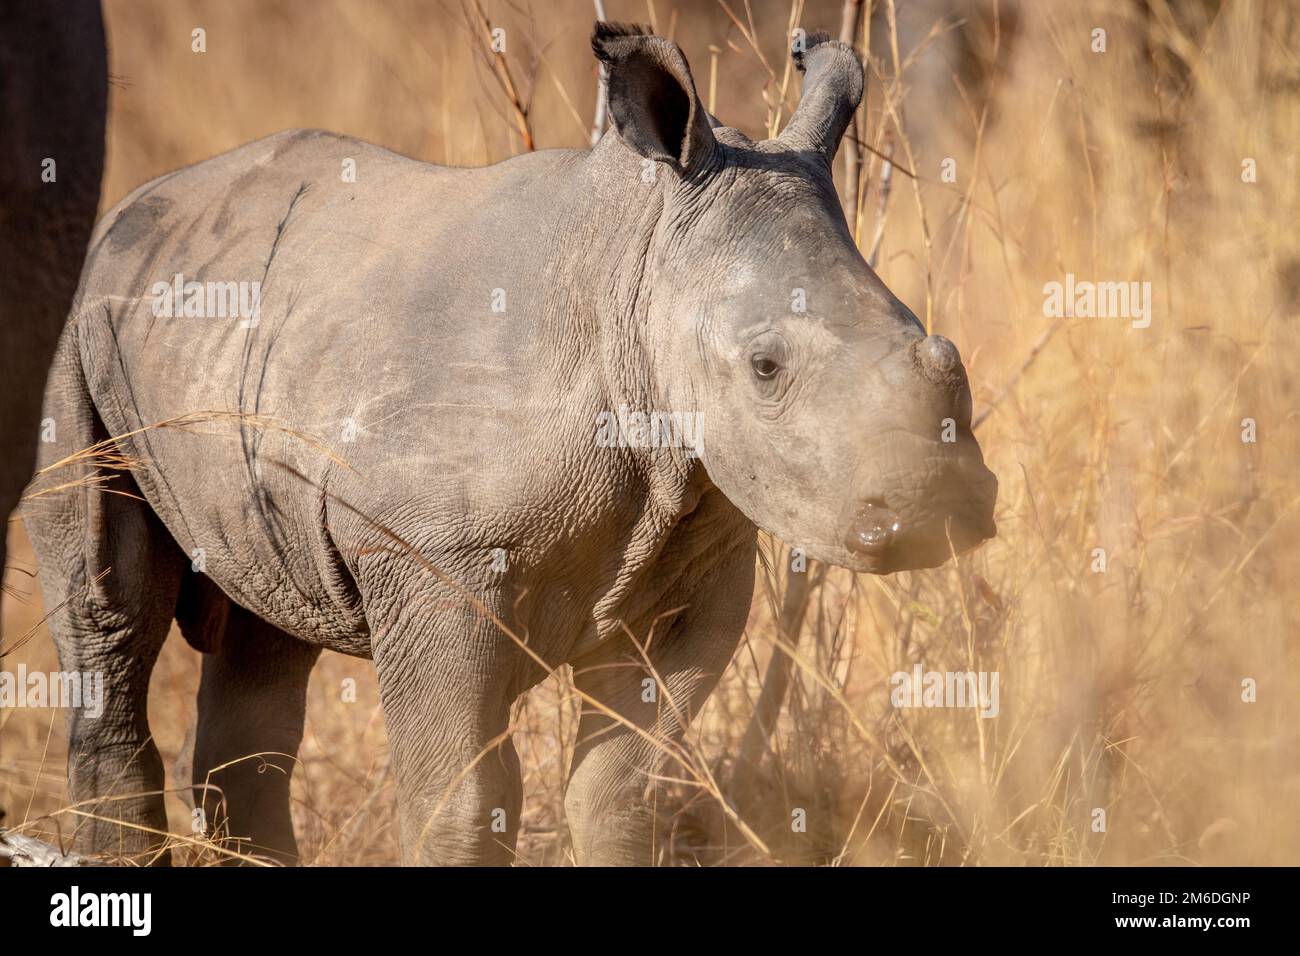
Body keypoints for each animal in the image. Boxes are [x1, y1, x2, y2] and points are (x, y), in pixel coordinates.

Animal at [25, 23, 996, 866]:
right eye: (765, 368)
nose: (938, 509)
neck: (636, 271)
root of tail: (140, 205)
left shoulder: (695, 571)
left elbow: (621, 791)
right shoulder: (430, 560)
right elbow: (464, 801)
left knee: (266, 630)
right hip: (80, 329)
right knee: (107, 611)